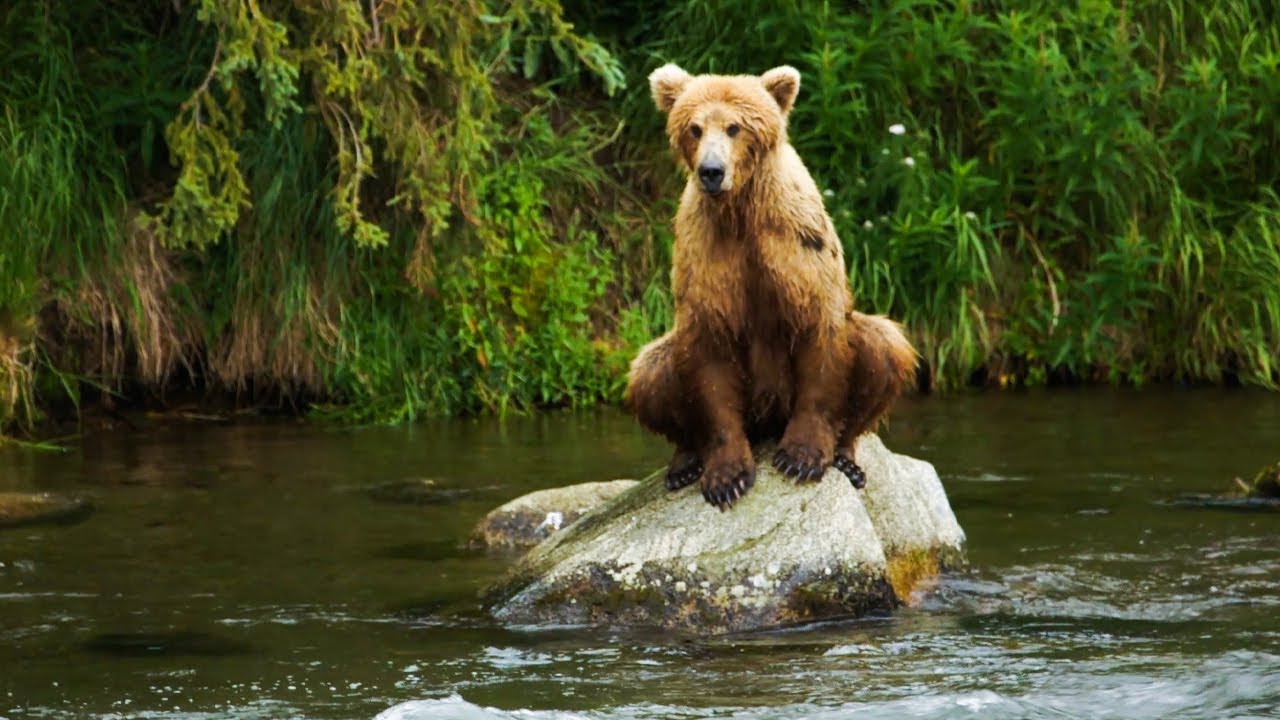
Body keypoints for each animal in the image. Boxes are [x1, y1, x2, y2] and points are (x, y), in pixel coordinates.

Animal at [624, 63, 918, 511]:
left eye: (734, 127)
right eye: (694, 128)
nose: (711, 171)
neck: (741, 210)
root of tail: (767, 421)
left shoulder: (796, 248)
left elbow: (821, 334)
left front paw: (801, 457)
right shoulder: (708, 255)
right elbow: (709, 351)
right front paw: (726, 477)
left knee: (884, 342)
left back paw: (846, 458)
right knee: (650, 368)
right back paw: (684, 463)